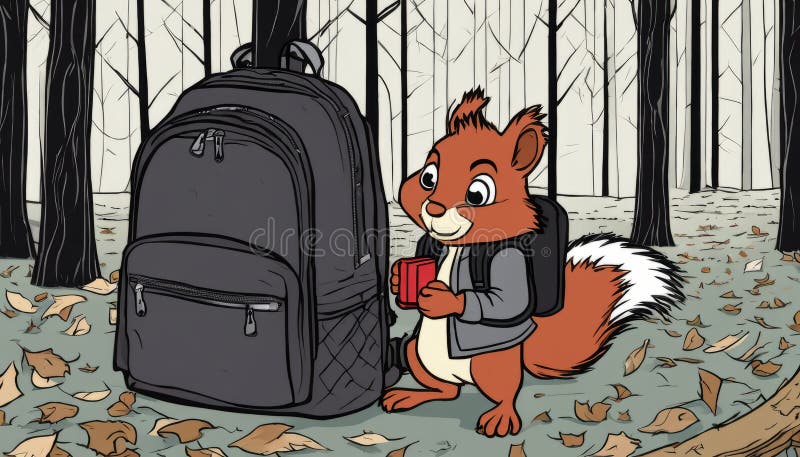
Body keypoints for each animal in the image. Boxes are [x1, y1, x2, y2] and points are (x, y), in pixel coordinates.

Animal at [382, 88, 684, 437]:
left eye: (478, 193)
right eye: (429, 176)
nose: (435, 207)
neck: (461, 249)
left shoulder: (507, 261)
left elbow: (506, 301)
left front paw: (444, 299)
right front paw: (397, 278)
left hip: (492, 364)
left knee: (498, 392)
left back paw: (500, 417)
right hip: (417, 353)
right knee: (445, 391)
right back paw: (409, 395)